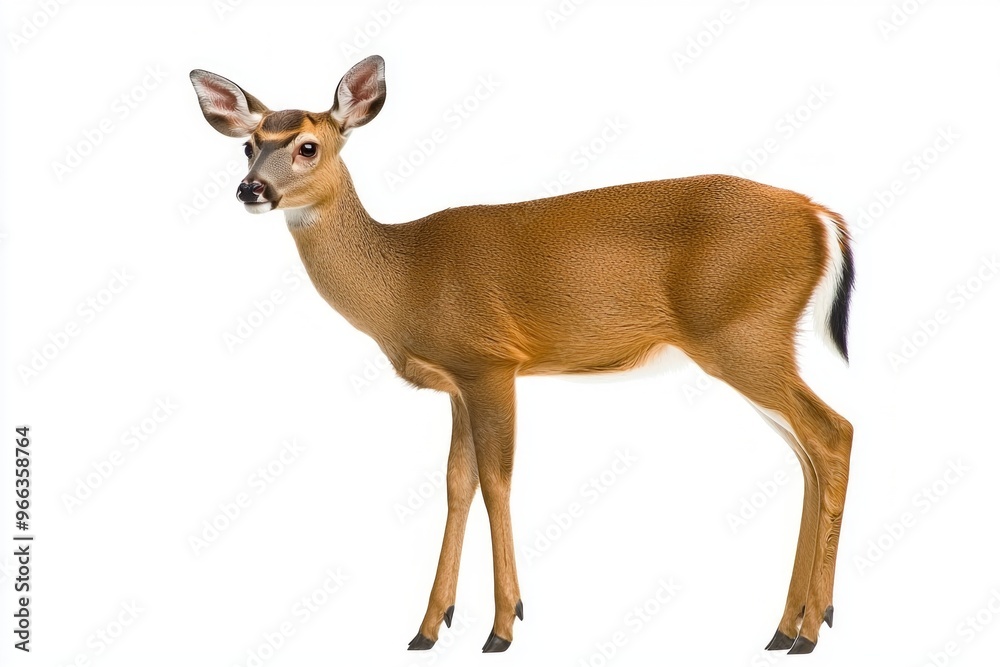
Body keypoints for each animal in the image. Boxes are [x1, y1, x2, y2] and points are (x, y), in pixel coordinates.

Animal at [190, 55, 854, 655]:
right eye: (248, 146)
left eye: (307, 146)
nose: (251, 189)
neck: (405, 279)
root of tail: (821, 216)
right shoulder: (456, 382)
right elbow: (456, 484)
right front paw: (429, 627)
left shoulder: (490, 362)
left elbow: (497, 479)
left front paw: (503, 626)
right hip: (756, 343)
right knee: (806, 455)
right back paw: (787, 626)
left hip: (745, 335)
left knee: (833, 433)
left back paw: (808, 629)